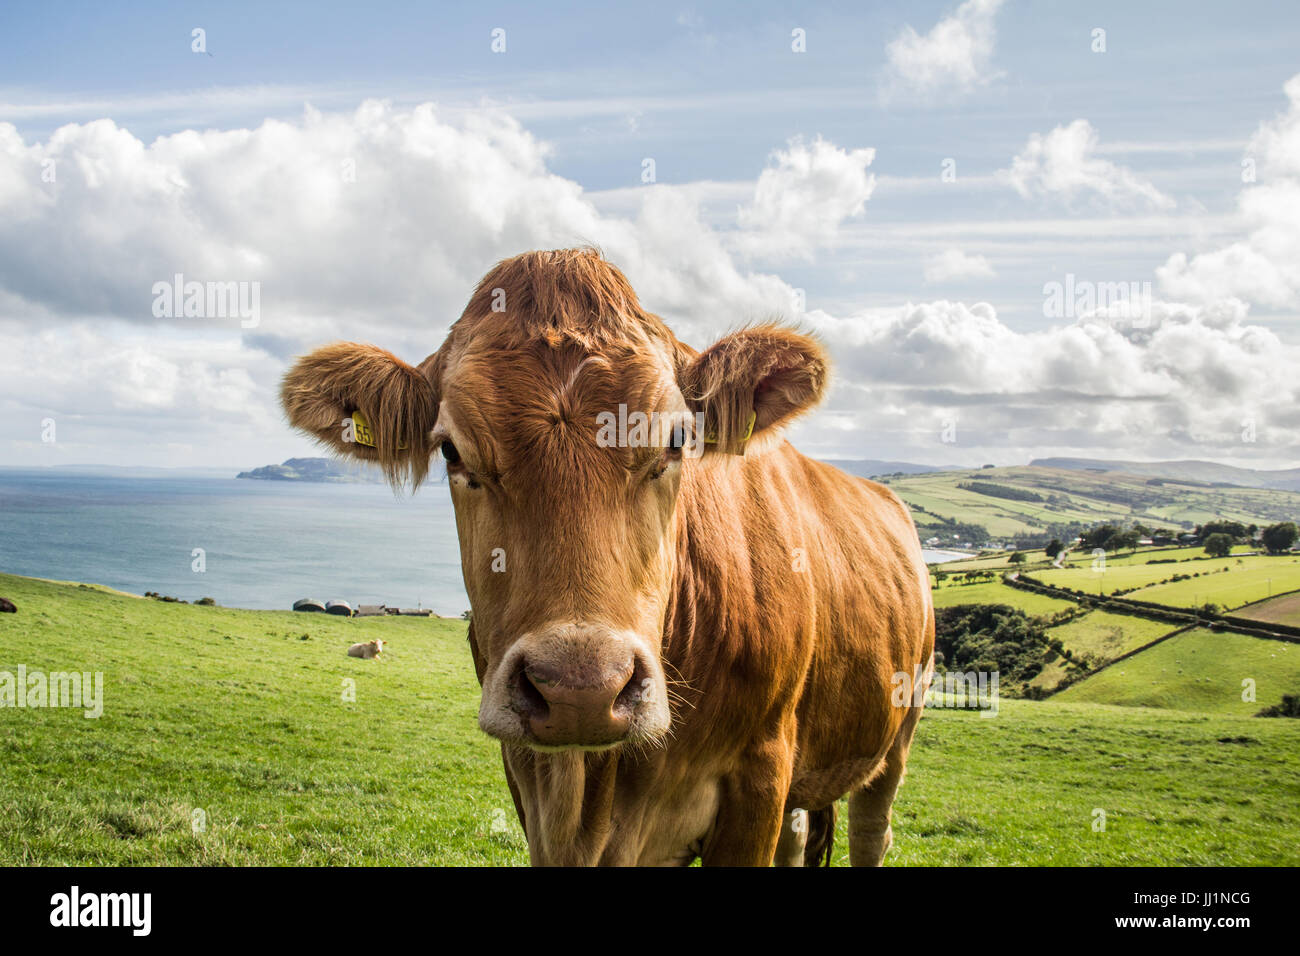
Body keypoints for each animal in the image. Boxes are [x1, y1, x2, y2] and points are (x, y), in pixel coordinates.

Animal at [282, 248, 934, 866]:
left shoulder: (761, 772)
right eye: (450, 451)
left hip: (901, 725)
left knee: (873, 830)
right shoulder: (528, 778)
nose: (581, 689)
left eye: (678, 439)